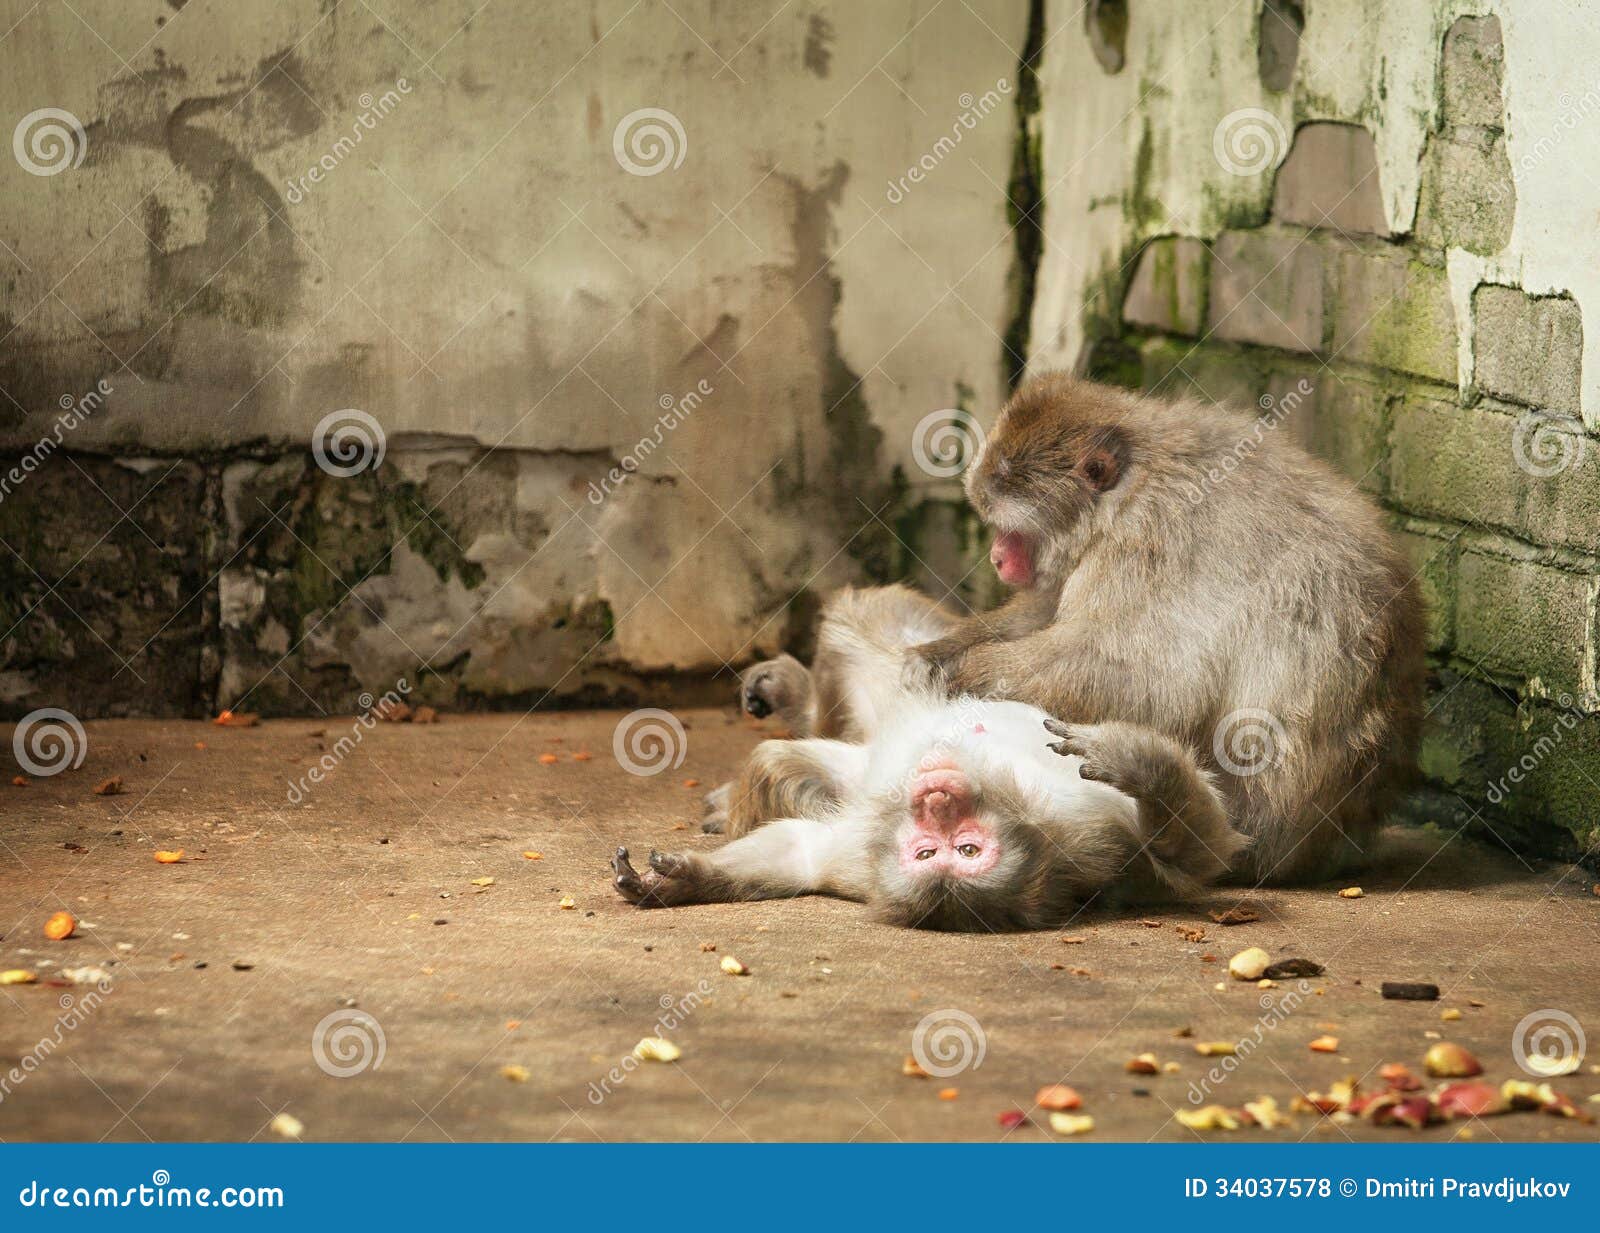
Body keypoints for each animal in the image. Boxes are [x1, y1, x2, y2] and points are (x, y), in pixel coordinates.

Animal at [611, 587, 1247, 930]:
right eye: (926, 853)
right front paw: (685, 880)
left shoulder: (1097, 842)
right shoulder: (859, 856)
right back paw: (798, 701)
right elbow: (802, 851)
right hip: (881, 739)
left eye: (965, 850)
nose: (934, 801)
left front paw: (1133, 762)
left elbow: (1198, 849)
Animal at [895, 372, 1427, 883]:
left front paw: (963, 674)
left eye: (1013, 531)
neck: (1131, 486)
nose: (997, 558)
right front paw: (937, 653)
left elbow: (1158, 679)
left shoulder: (1145, 540)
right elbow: (1047, 609)